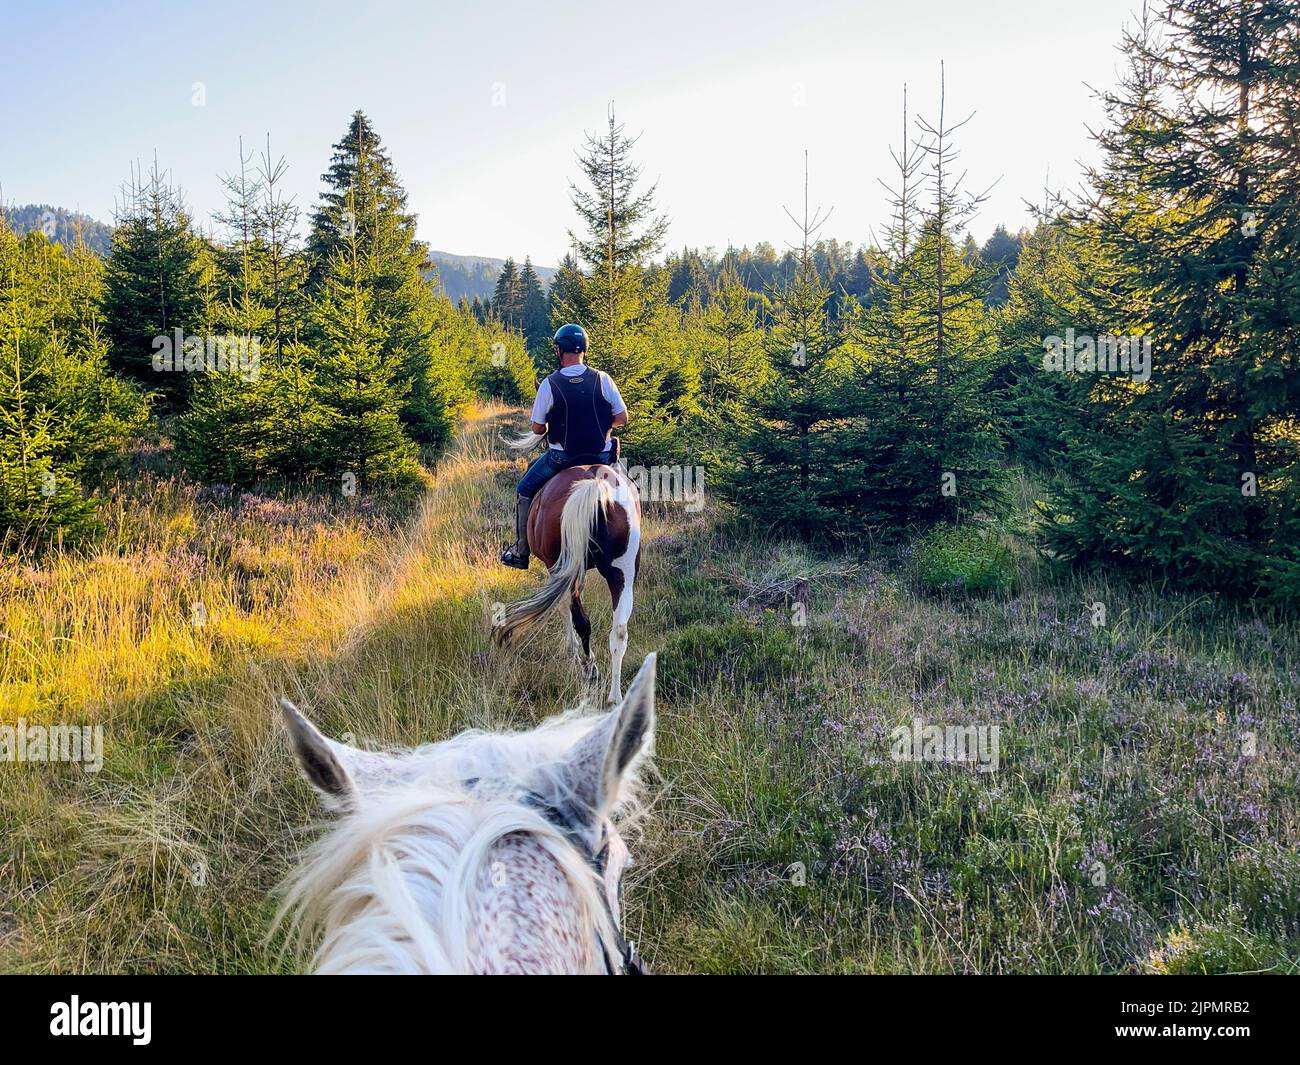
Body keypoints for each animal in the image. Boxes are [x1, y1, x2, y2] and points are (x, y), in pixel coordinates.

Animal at [492, 431, 641, 705]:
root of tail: (596, 487)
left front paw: (571, 652)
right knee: (619, 631)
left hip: (565, 567)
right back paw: (615, 697)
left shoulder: (556, 569)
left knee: (582, 621)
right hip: (623, 571)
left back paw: (589, 668)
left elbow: (564, 610)